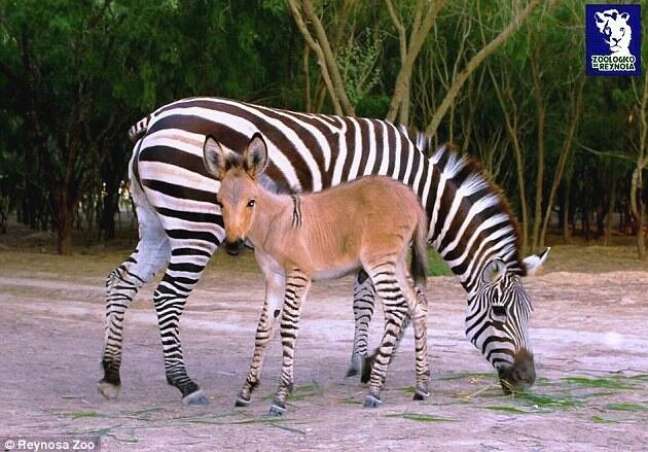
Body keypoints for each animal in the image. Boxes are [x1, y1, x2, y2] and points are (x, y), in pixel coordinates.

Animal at [98, 96, 548, 405]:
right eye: (499, 313)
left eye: (529, 314)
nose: (527, 379)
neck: (421, 188)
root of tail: (154, 120)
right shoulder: (376, 237)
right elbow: (379, 302)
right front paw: (370, 364)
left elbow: (381, 300)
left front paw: (368, 361)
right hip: (195, 223)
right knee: (167, 296)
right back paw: (184, 382)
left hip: (157, 224)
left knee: (120, 282)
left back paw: (111, 374)